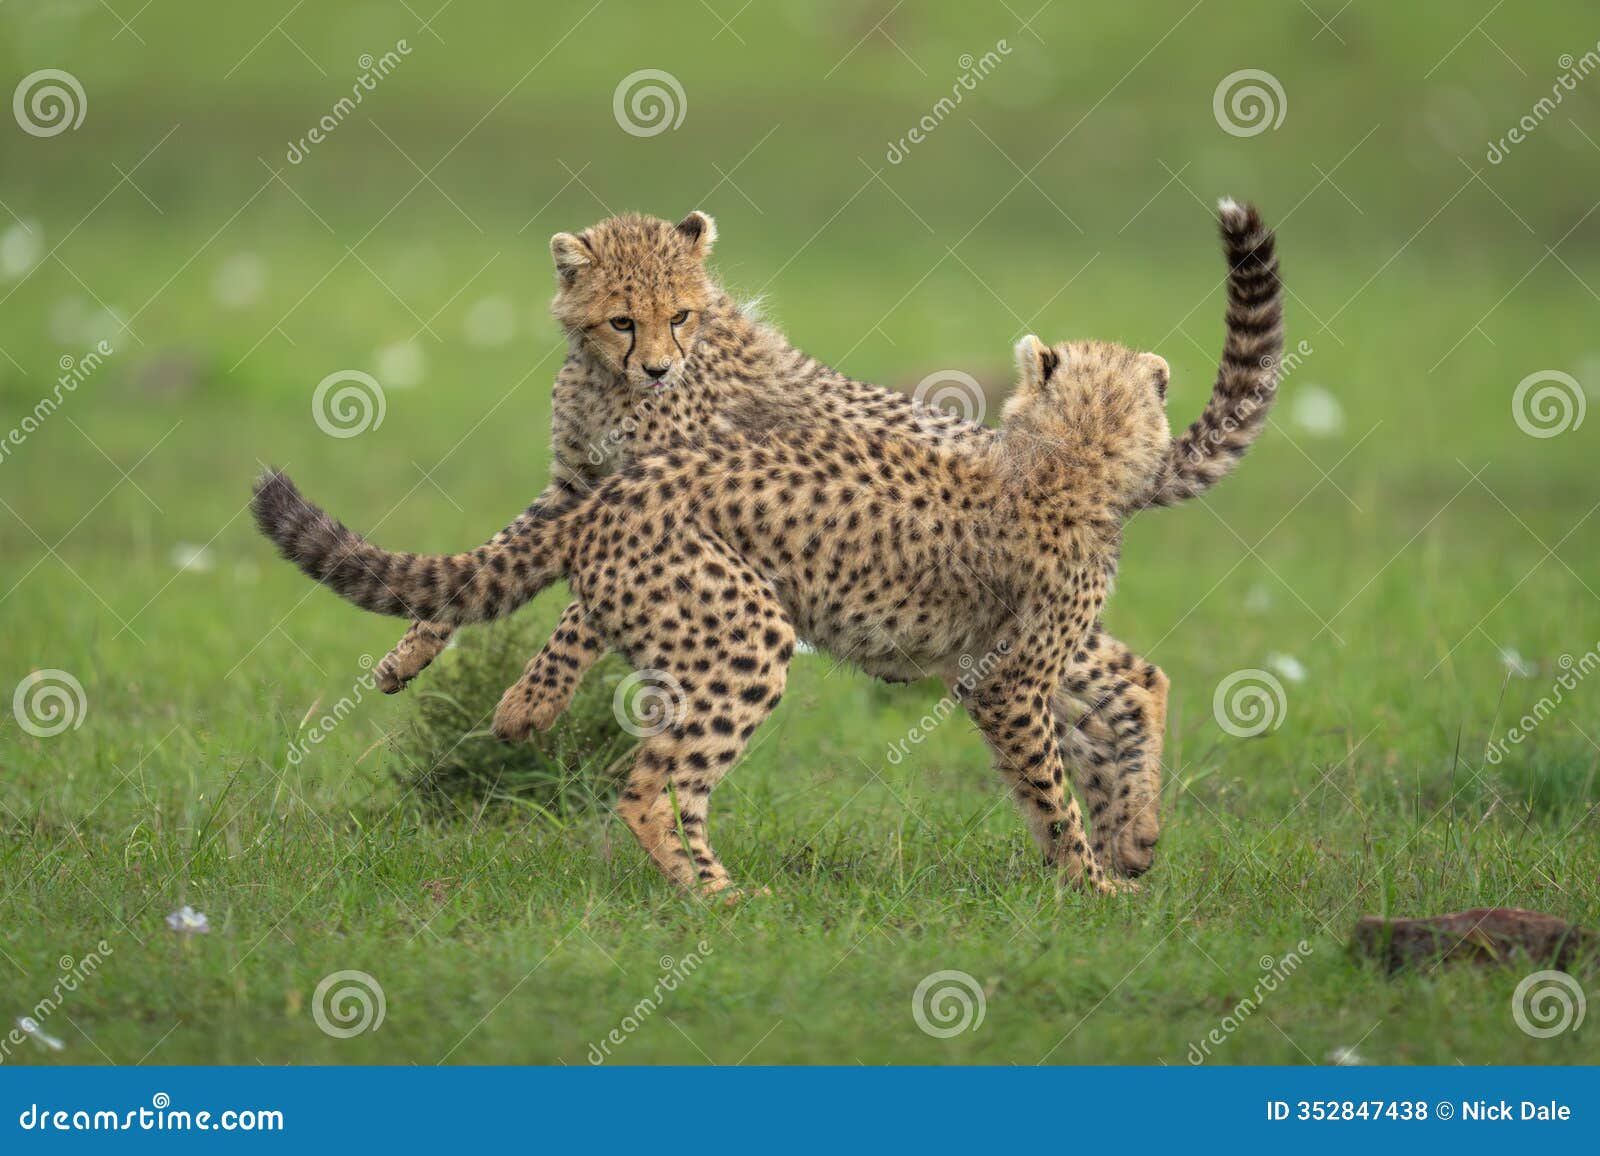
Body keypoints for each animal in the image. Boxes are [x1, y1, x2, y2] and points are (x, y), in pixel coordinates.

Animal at [252, 333, 1174, 897]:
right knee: (651, 784)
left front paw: (1116, 851)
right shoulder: (1011, 682)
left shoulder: (1001, 657)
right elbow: (1052, 786)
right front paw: (1090, 884)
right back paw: (717, 896)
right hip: (746, 636)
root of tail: (612, 496)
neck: (1072, 447)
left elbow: (1111, 714)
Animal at [367, 200, 1281, 879]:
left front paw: (527, 703)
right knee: (1128, 679)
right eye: (622, 320)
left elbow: (570, 619)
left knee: (1123, 680)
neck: (609, 382)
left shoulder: (641, 496)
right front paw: (405, 656)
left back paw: (1121, 840)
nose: (658, 368)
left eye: (680, 316)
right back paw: (1131, 838)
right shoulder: (579, 488)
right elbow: (485, 563)